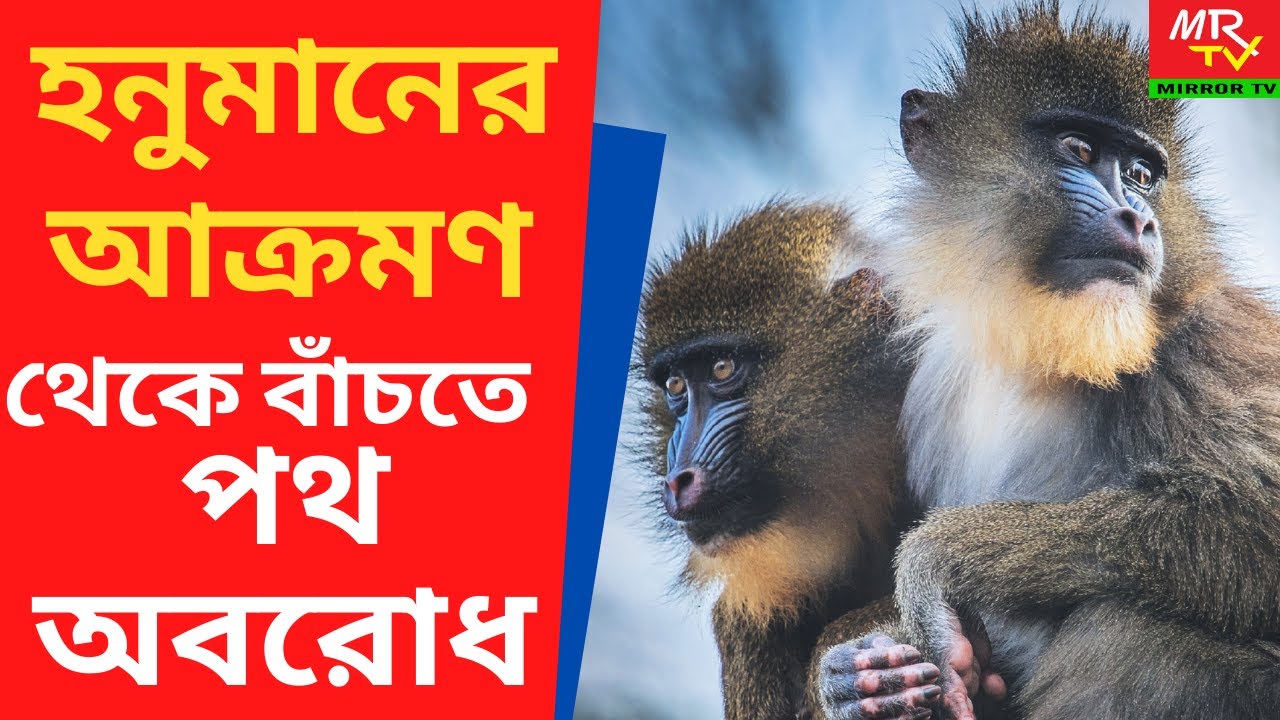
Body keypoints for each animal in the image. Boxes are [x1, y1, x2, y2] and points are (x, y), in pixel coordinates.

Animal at [816, 4, 1280, 720]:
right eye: (1080, 150)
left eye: (1142, 175)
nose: (1140, 221)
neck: (1028, 341)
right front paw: (864, 674)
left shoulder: (1206, 350)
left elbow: (1256, 532)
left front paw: (937, 557)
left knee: (1120, 633)